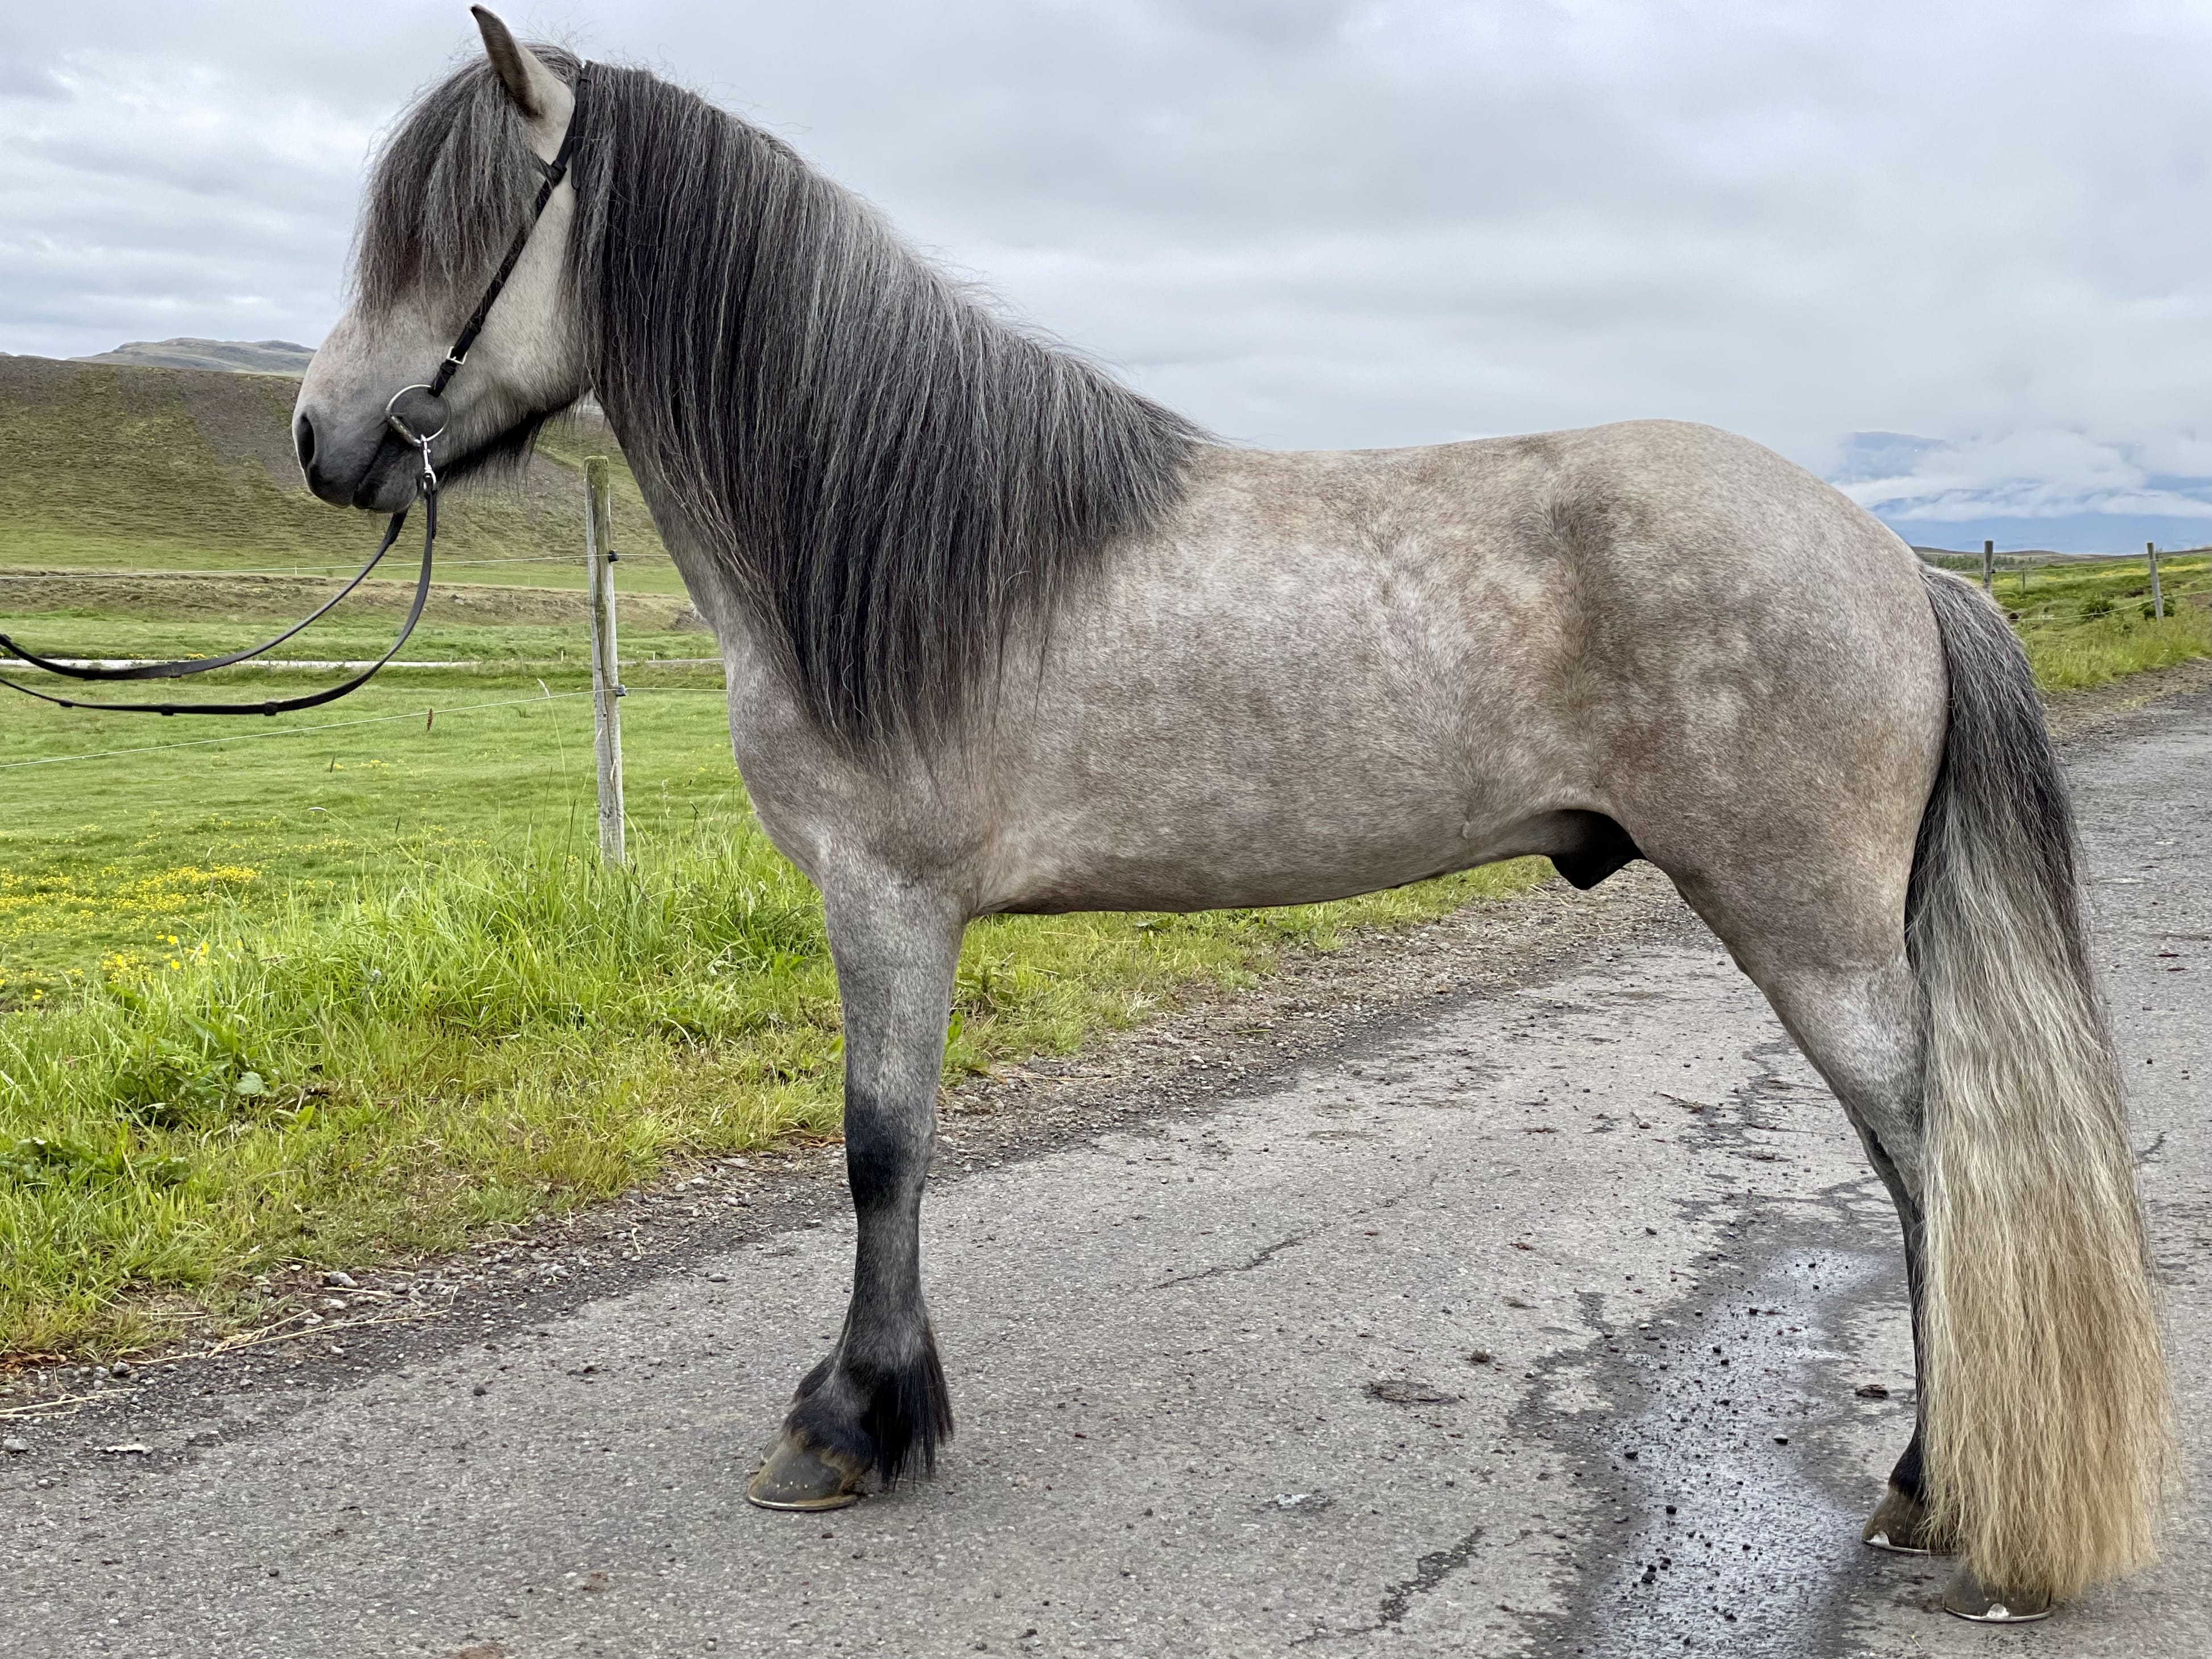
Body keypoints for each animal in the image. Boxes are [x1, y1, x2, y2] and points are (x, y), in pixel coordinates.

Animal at [292, 8, 2169, 1624]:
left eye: (461, 228)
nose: (321, 440)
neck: (898, 540)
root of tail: (1901, 564)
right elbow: (897, 1150)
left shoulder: (886, 900)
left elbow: (881, 1150)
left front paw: (851, 1423)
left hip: (1812, 930)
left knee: (1934, 1167)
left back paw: (1933, 1483)